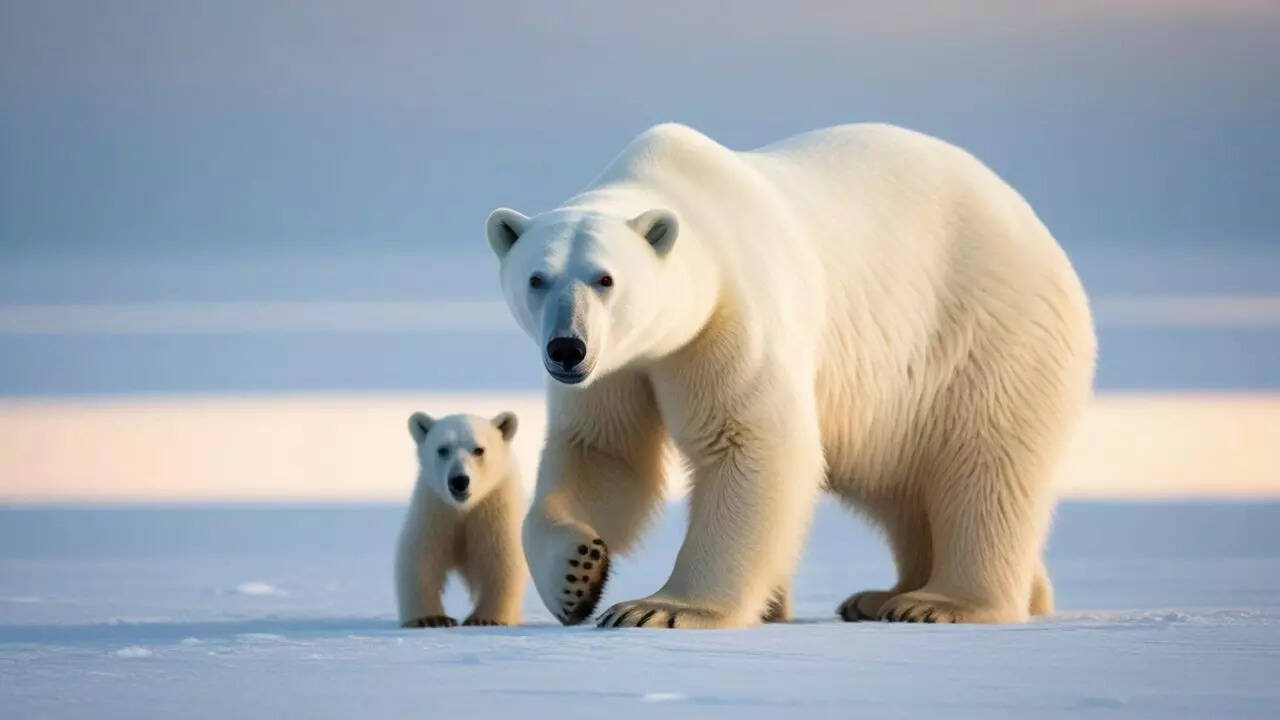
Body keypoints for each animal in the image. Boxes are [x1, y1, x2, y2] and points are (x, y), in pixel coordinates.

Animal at [395, 411, 526, 627]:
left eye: (479, 449)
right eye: (442, 449)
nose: (459, 481)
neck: (464, 509)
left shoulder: (494, 509)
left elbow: (502, 557)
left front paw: (485, 619)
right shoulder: (435, 510)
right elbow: (421, 557)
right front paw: (431, 619)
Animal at [485, 122, 1095, 628]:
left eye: (605, 278)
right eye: (537, 278)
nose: (567, 348)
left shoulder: (733, 317)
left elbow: (752, 443)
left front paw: (659, 608)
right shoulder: (621, 367)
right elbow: (603, 452)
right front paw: (577, 576)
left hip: (987, 334)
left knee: (983, 465)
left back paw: (939, 602)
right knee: (904, 484)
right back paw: (887, 596)